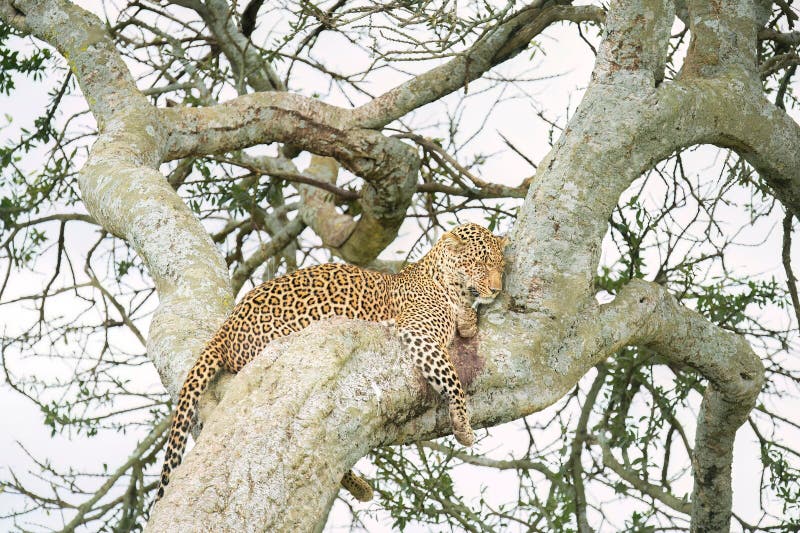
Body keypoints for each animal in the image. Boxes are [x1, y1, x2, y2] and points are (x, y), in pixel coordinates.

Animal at [155, 223, 508, 504]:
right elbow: (451, 378)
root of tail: (225, 329)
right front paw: (463, 425)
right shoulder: (418, 332)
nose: (497, 289)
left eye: (501, 265)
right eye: (479, 262)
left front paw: (468, 319)